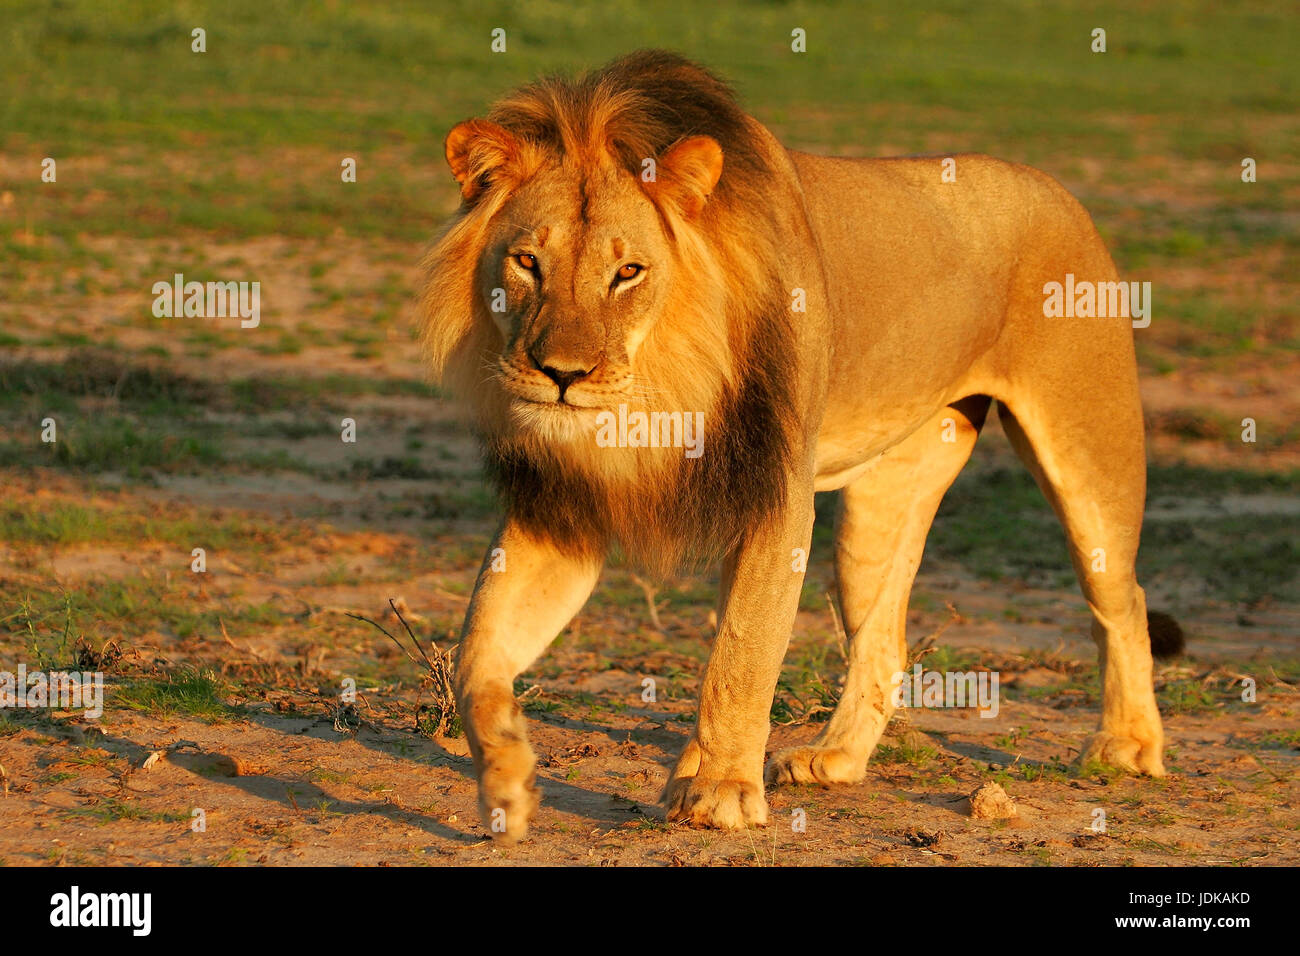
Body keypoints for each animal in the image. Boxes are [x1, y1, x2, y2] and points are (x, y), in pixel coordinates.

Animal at [418, 50, 1181, 842]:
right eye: (527, 263)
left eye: (628, 272)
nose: (562, 375)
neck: (660, 385)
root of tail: (1056, 188)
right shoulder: (560, 513)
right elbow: (476, 657)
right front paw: (507, 783)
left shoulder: (777, 495)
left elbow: (742, 654)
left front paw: (721, 792)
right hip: (881, 509)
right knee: (882, 637)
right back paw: (835, 760)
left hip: (1089, 449)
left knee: (1122, 596)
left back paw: (1127, 747)